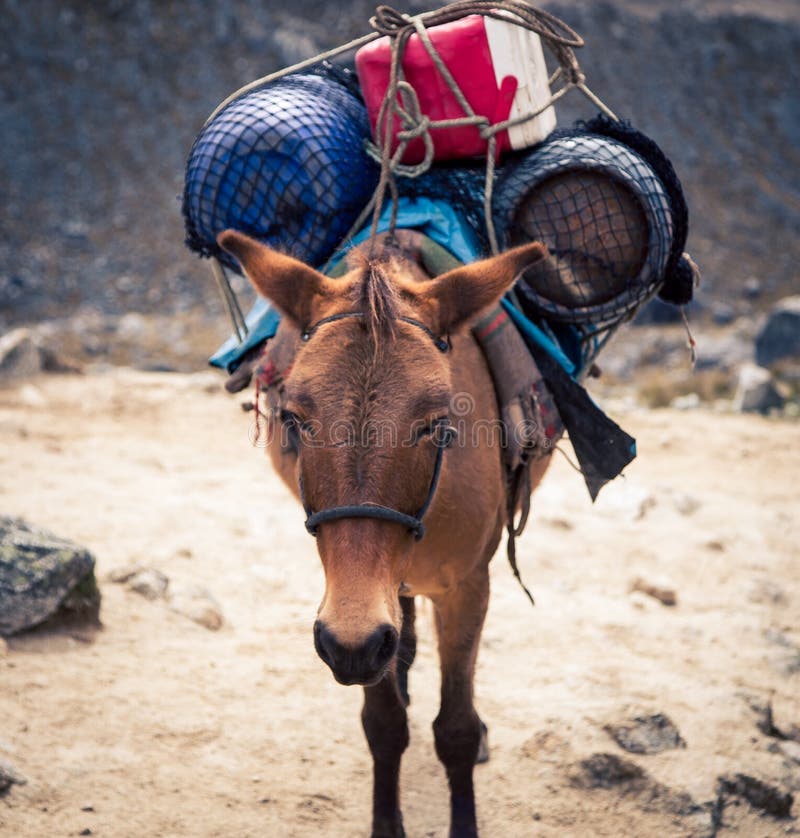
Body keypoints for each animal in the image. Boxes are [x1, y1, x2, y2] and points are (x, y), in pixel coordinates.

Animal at [218, 229, 553, 838]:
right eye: (294, 419)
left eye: (440, 423)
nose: (351, 644)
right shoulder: (355, 613)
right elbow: (384, 724)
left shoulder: (467, 587)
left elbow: (456, 728)